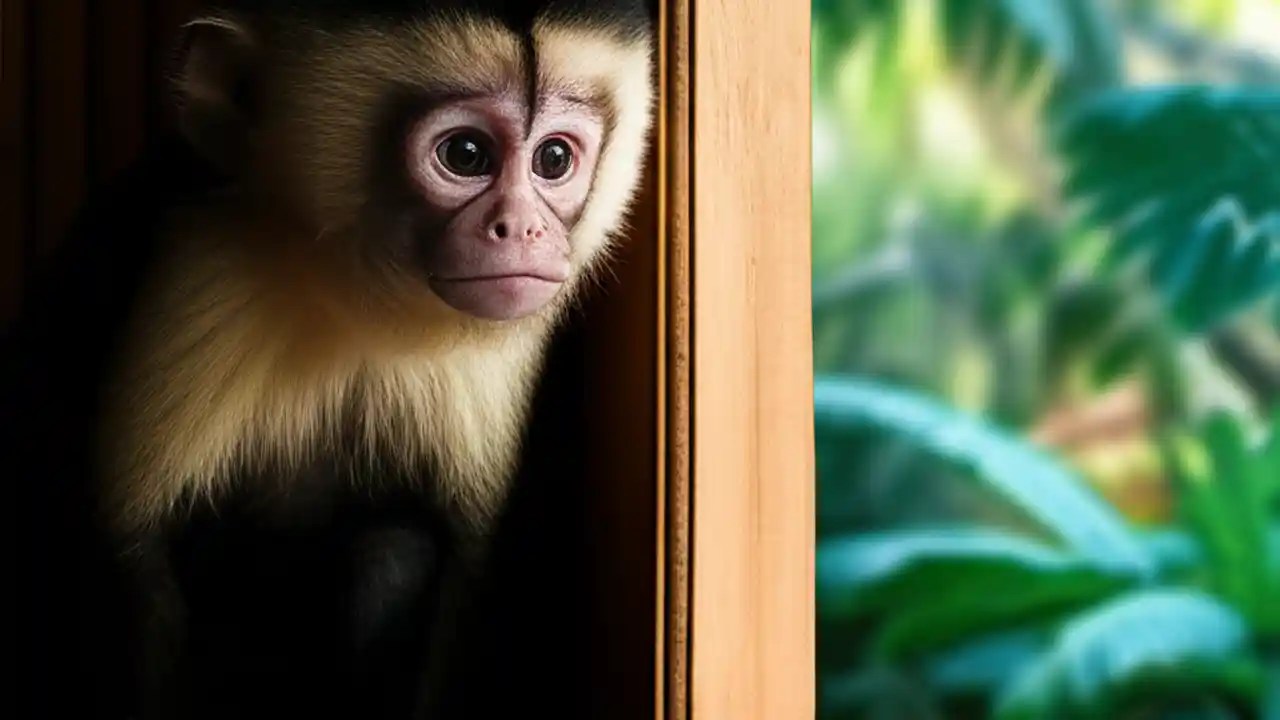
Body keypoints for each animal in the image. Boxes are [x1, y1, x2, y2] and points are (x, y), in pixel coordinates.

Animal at [3, 1, 653, 718]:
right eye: (466, 154)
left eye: (554, 158)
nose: (523, 230)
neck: (354, 293)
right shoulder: (197, 269)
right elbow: (132, 571)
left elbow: (469, 570)